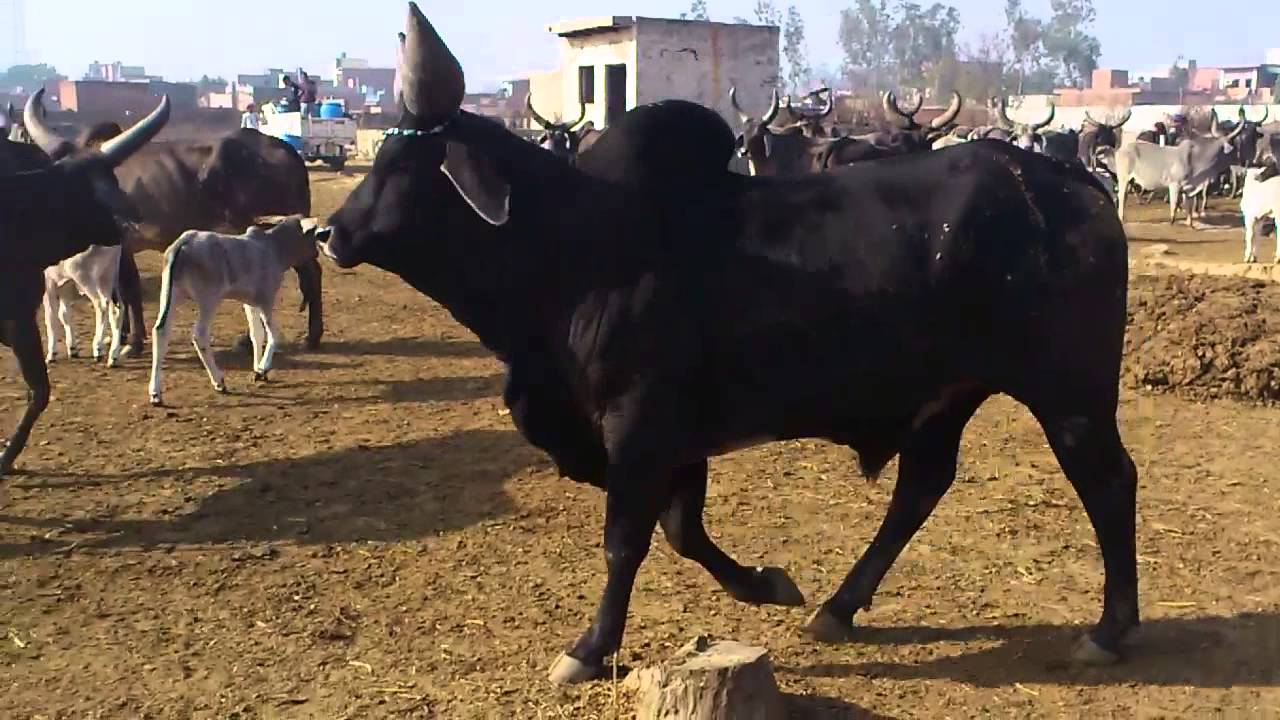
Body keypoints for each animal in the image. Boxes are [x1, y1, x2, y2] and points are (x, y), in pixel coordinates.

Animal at [19, 92, 324, 357]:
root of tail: (286, 151)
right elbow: (119, 292)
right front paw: (120, 335)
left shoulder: (124, 245)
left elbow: (129, 289)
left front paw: (133, 341)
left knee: (309, 274)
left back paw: (305, 337)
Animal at [147, 216, 327, 406]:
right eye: (313, 235)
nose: (316, 253)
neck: (273, 247)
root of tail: (182, 244)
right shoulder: (266, 300)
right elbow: (273, 334)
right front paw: (263, 368)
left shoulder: (250, 303)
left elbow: (257, 334)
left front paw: (257, 369)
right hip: (208, 300)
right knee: (199, 335)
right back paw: (219, 381)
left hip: (171, 294)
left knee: (160, 331)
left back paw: (155, 392)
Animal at [322, 2, 1141, 686]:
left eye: (404, 166)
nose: (331, 233)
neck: (582, 248)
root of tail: (1071, 185)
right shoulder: (677, 442)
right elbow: (684, 532)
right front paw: (767, 585)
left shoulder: (642, 429)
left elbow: (627, 540)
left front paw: (590, 648)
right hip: (951, 395)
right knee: (921, 487)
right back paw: (839, 606)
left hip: (1070, 394)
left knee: (1109, 481)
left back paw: (1110, 629)